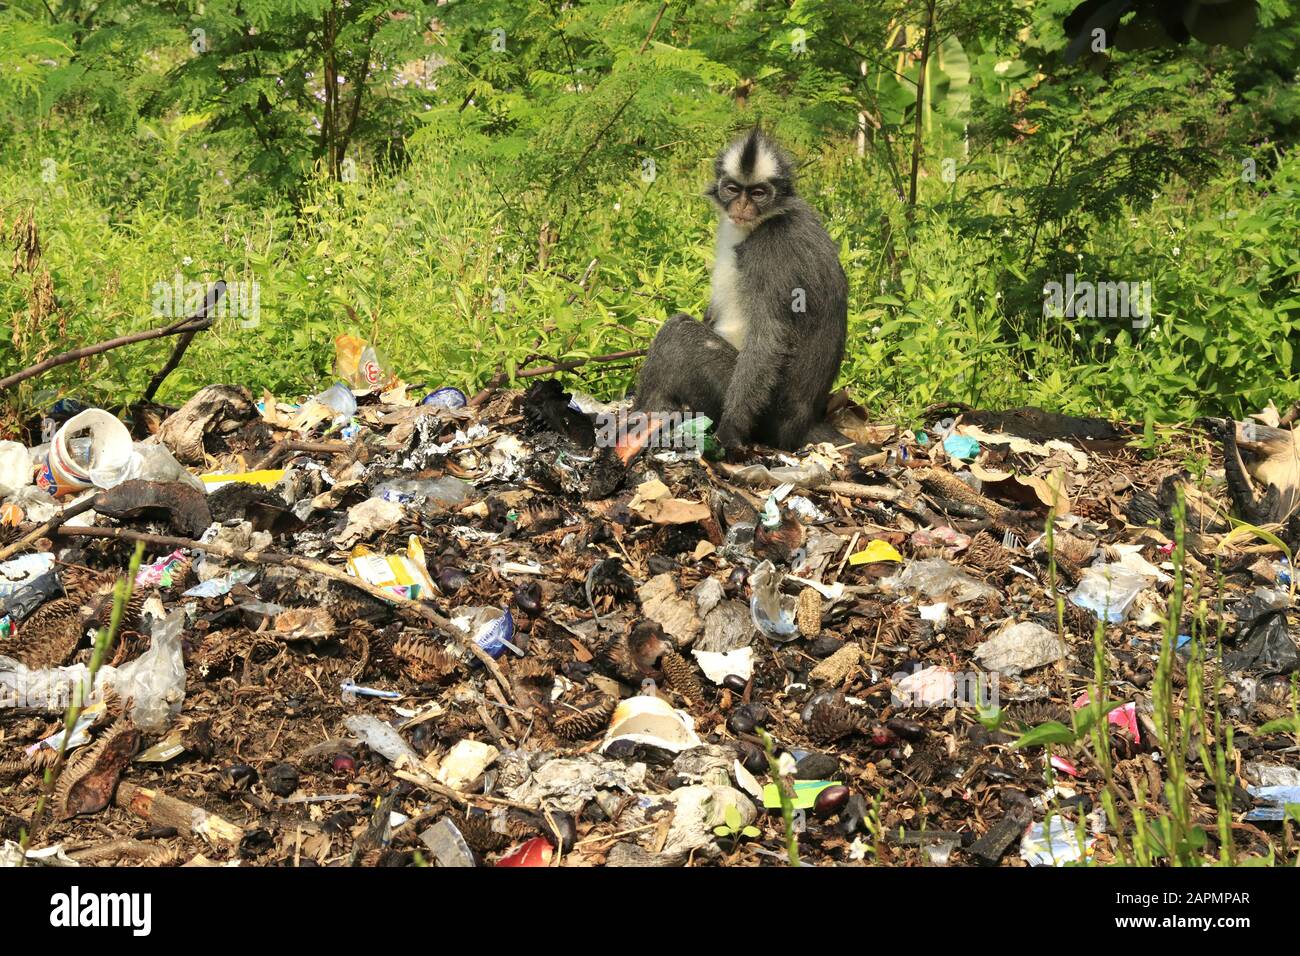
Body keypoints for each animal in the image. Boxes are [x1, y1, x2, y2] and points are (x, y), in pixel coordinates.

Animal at [633, 128, 853, 452]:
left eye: (758, 193)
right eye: (734, 190)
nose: (742, 207)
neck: (766, 219)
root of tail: (803, 425)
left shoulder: (773, 252)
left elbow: (769, 336)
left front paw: (730, 430)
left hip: (760, 412)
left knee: (678, 331)